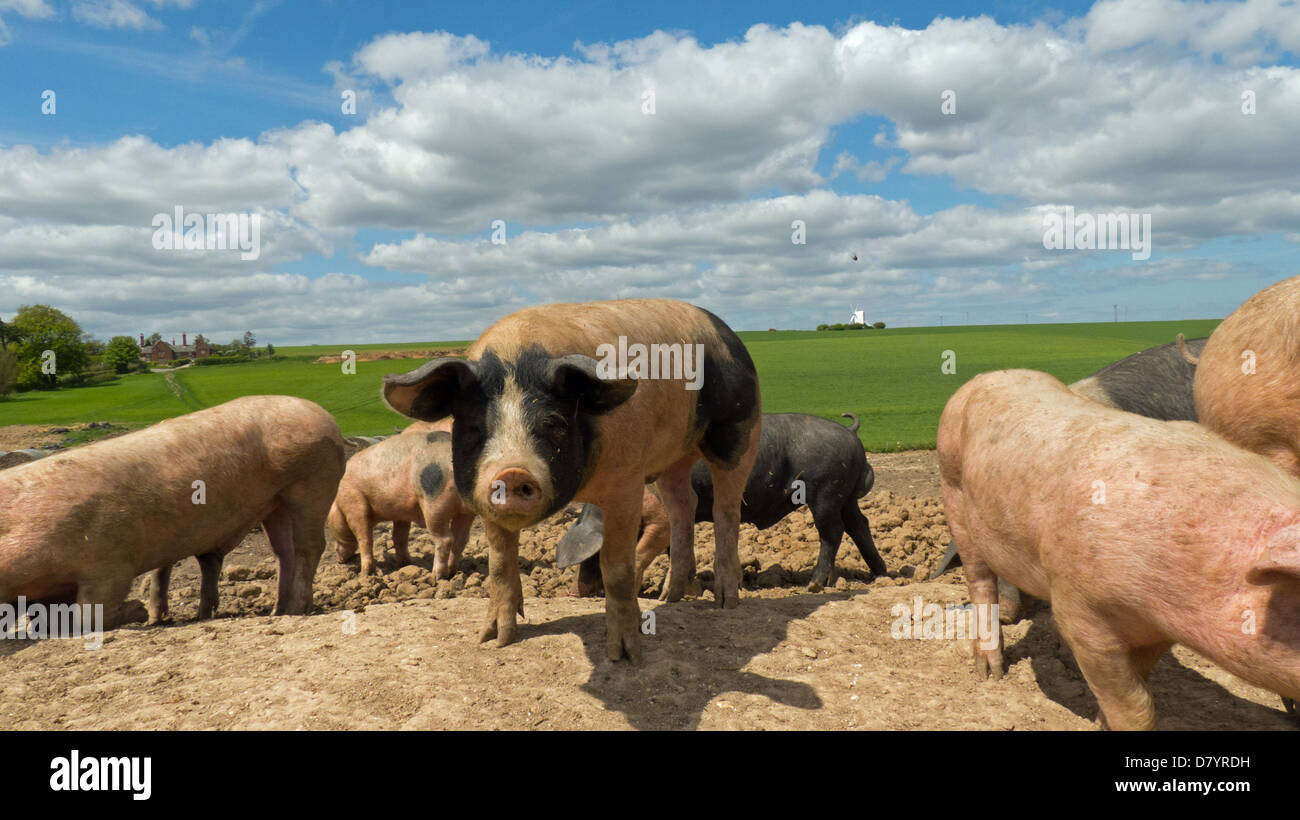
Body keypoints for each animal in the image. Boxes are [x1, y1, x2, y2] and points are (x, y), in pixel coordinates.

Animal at [0, 396, 345, 627]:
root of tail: (321, 413)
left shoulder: (109, 561)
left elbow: (89, 614)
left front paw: (138, 614)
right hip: (275, 502)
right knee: (283, 552)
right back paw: (275, 610)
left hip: (311, 483)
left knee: (309, 547)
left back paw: (297, 609)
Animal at [328, 418, 476, 578]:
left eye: (330, 526)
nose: (339, 560)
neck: (339, 504)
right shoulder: (401, 513)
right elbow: (399, 537)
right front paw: (405, 564)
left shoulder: (354, 504)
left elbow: (365, 538)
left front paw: (365, 574)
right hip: (466, 509)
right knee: (461, 539)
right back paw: (452, 572)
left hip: (433, 502)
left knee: (445, 539)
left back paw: (436, 576)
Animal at [383, 298, 761, 662]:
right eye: (475, 426)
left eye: (553, 422)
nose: (512, 473)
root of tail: (730, 334)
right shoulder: (480, 498)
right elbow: (500, 563)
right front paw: (494, 640)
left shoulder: (627, 481)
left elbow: (617, 568)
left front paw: (625, 656)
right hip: (673, 458)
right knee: (684, 506)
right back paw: (670, 598)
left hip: (740, 430)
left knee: (726, 510)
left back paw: (726, 602)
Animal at [561, 412, 887, 595]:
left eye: (596, 555)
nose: (578, 593)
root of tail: (850, 433)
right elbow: (678, 551)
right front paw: (691, 587)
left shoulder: (663, 517)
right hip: (844, 496)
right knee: (860, 525)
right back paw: (878, 574)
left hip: (825, 491)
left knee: (832, 533)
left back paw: (815, 585)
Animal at [939, 369, 1300, 730]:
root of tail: (985, 376)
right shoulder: (1082, 611)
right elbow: (1135, 705)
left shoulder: (1158, 630)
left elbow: (1138, 681)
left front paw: (1100, 721)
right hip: (953, 490)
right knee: (980, 581)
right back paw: (990, 673)